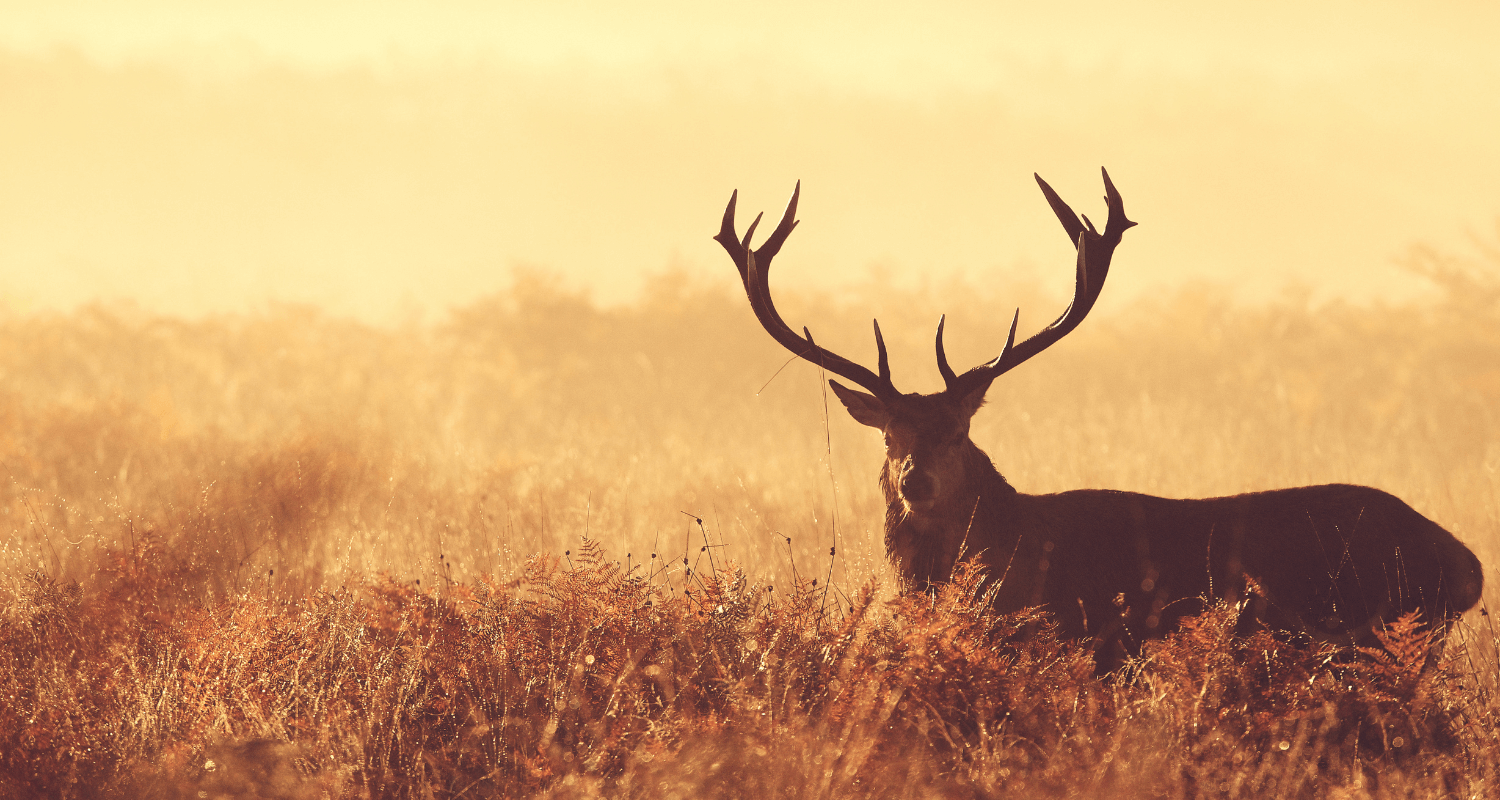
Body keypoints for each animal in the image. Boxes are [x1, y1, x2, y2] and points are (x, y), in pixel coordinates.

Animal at [714, 168, 1484, 668]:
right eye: (889, 434)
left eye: (959, 432)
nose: (915, 481)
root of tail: (1467, 565)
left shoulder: (1084, 639)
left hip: (1379, 632)